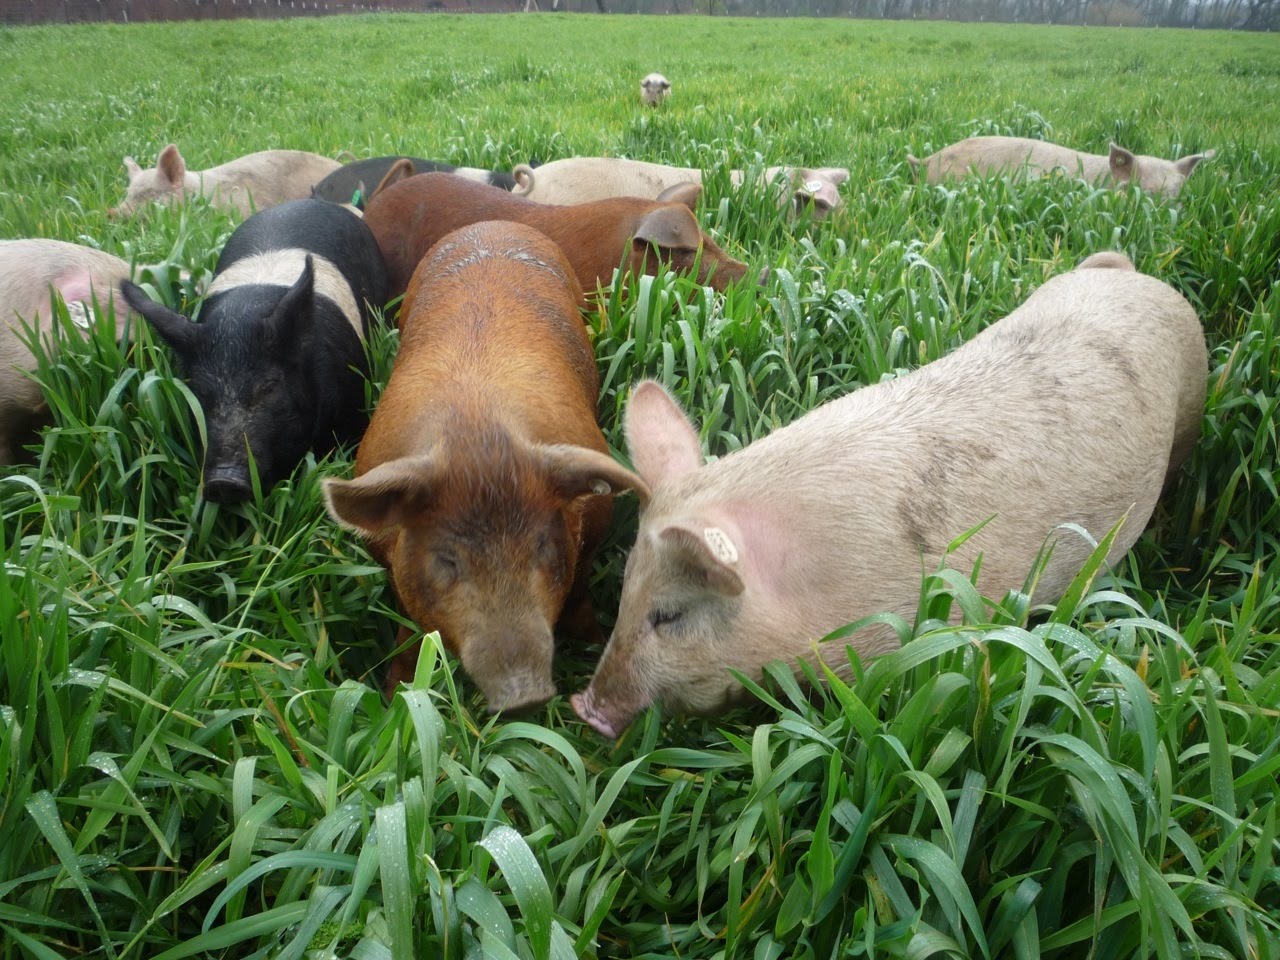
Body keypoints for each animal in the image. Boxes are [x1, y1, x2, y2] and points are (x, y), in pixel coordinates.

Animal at [322, 220, 640, 710]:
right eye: (447, 558)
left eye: (542, 545)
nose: (524, 695)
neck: (478, 434)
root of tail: (493, 223)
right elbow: (410, 628)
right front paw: (396, 694)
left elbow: (579, 596)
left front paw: (593, 649)